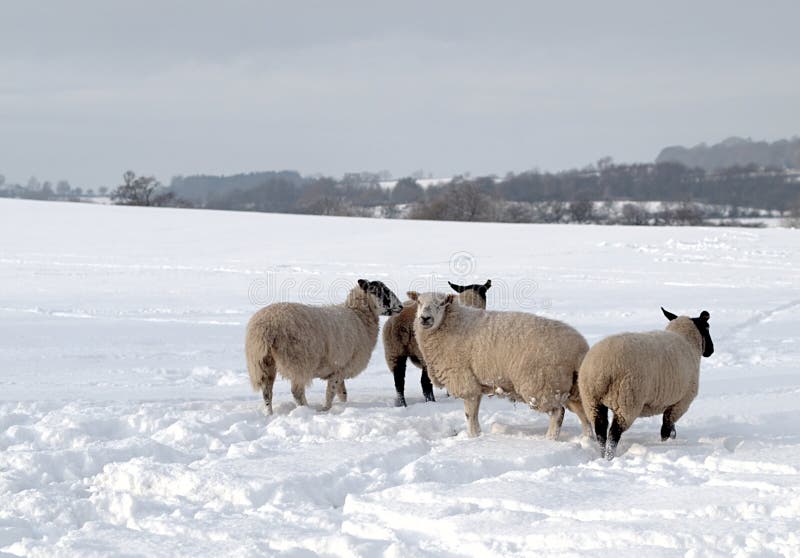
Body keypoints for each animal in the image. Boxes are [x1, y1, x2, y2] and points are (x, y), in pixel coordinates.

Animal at [245, 280, 406, 416]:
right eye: (381, 291)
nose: (401, 307)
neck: (359, 317)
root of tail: (267, 326)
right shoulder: (338, 367)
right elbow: (331, 393)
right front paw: (325, 409)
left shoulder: (341, 369)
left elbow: (343, 393)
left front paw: (343, 405)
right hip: (299, 361)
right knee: (297, 392)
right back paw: (306, 410)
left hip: (263, 363)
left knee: (267, 392)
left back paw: (269, 414)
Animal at [410, 294, 592, 442]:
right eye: (419, 302)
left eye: (441, 303)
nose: (425, 318)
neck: (450, 324)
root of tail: (580, 349)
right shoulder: (476, 384)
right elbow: (474, 414)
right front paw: (477, 435)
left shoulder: (465, 381)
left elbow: (469, 415)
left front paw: (472, 437)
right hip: (570, 387)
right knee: (583, 412)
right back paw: (587, 438)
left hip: (544, 384)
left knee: (558, 413)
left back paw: (550, 439)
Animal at [580, 308, 716, 462]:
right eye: (707, 327)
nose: (711, 350)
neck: (688, 342)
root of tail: (600, 370)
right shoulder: (681, 402)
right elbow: (666, 428)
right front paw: (665, 444)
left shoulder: (670, 402)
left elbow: (670, 427)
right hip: (627, 402)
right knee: (614, 434)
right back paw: (610, 458)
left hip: (592, 402)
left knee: (601, 432)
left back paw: (603, 456)